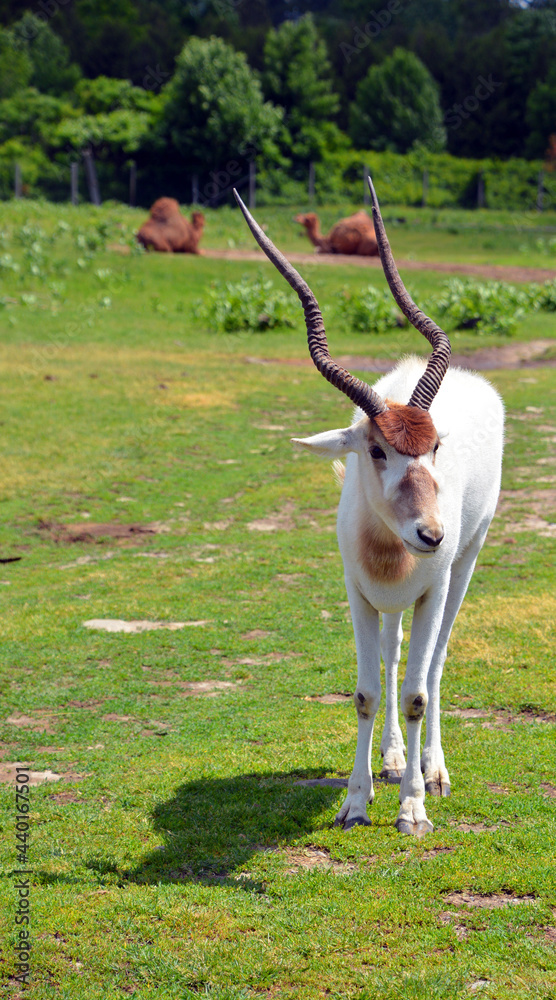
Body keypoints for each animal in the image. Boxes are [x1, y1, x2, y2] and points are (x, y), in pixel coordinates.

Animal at [234, 182, 504, 836]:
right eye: (377, 449)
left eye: (434, 447)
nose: (430, 534)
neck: (389, 549)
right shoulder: (358, 591)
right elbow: (366, 691)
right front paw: (357, 801)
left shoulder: (431, 589)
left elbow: (415, 693)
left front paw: (413, 808)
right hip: (395, 601)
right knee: (393, 656)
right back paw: (394, 760)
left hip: (467, 562)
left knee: (432, 664)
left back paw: (432, 770)